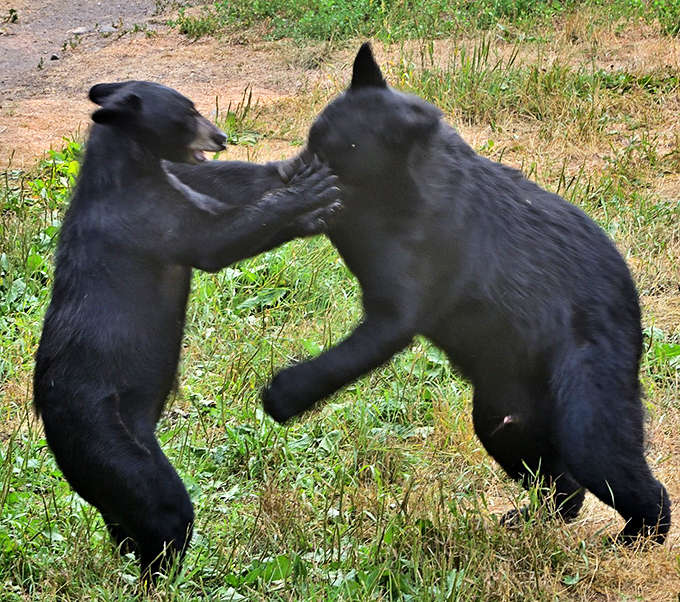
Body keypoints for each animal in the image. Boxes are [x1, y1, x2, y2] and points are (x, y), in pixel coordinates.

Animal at [33, 80, 340, 583]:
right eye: (188, 112)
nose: (221, 136)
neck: (128, 165)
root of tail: (50, 426)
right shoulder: (147, 218)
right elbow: (216, 238)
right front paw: (310, 193)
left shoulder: (177, 183)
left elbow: (228, 184)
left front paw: (304, 171)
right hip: (107, 437)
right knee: (162, 508)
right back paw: (163, 575)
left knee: (123, 521)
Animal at [263, 44, 671, 544]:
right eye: (312, 136)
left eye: (336, 150)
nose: (284, 175)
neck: (403, 188)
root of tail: (631, 306)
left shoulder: (407, 292)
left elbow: (358, 346)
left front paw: (283, 394)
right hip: (501, 415)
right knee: (562, 484)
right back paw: (531, 520)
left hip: (586, 403)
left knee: (622, 473)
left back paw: (636, 538)